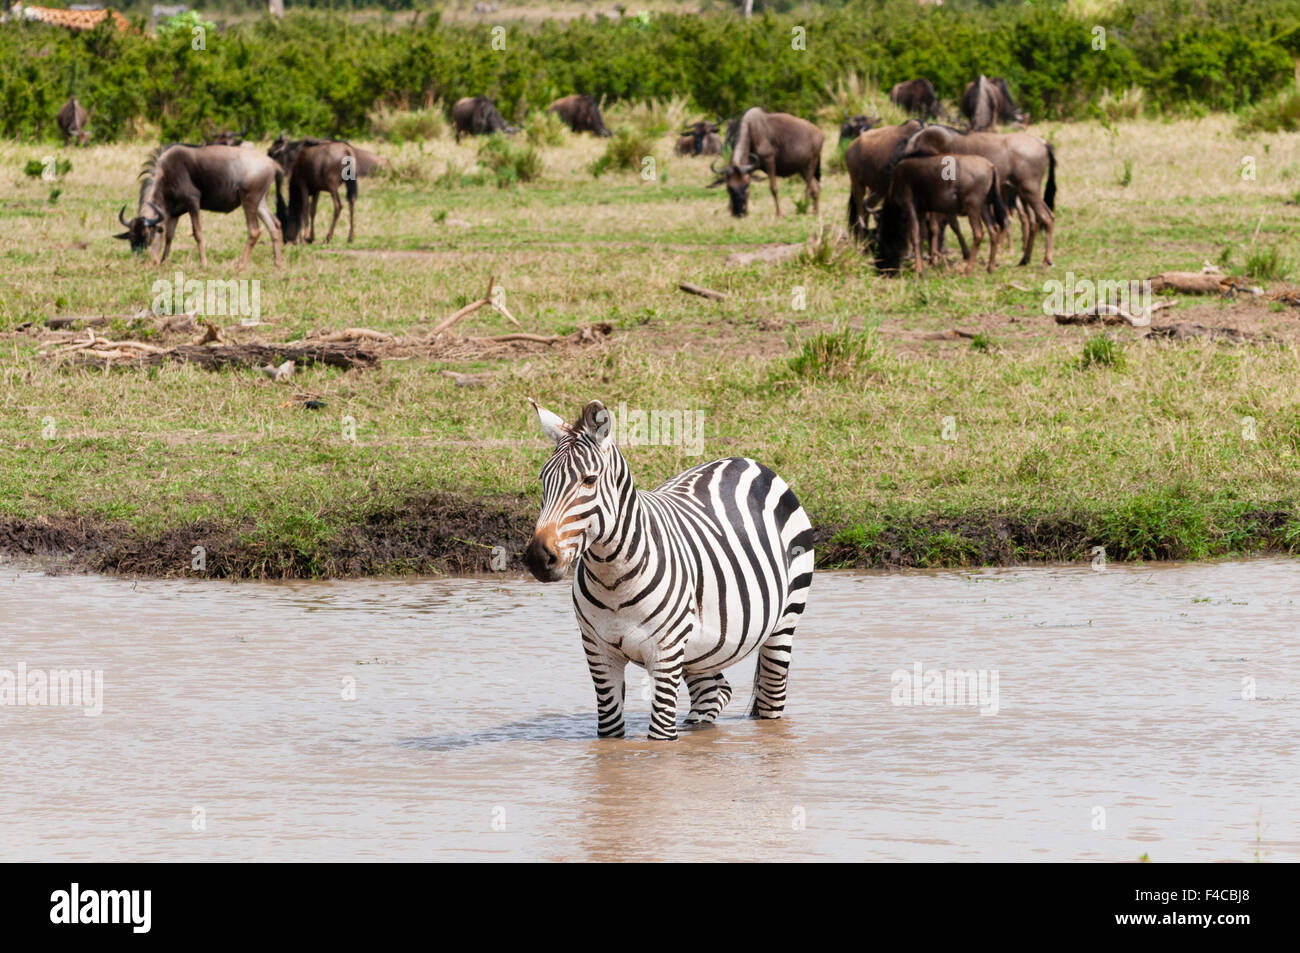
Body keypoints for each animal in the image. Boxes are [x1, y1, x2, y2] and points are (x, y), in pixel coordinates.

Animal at [522, 398, 815, 741]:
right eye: (543, 480)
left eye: (589, 480)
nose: (538, 558)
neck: (613, 579)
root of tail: (747, 462)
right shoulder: (598, 652)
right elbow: (610, 731)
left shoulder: (665, 653)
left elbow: (660, 736)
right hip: (703, 649)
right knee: (715, 691)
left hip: (784, 621)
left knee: (771, 699)